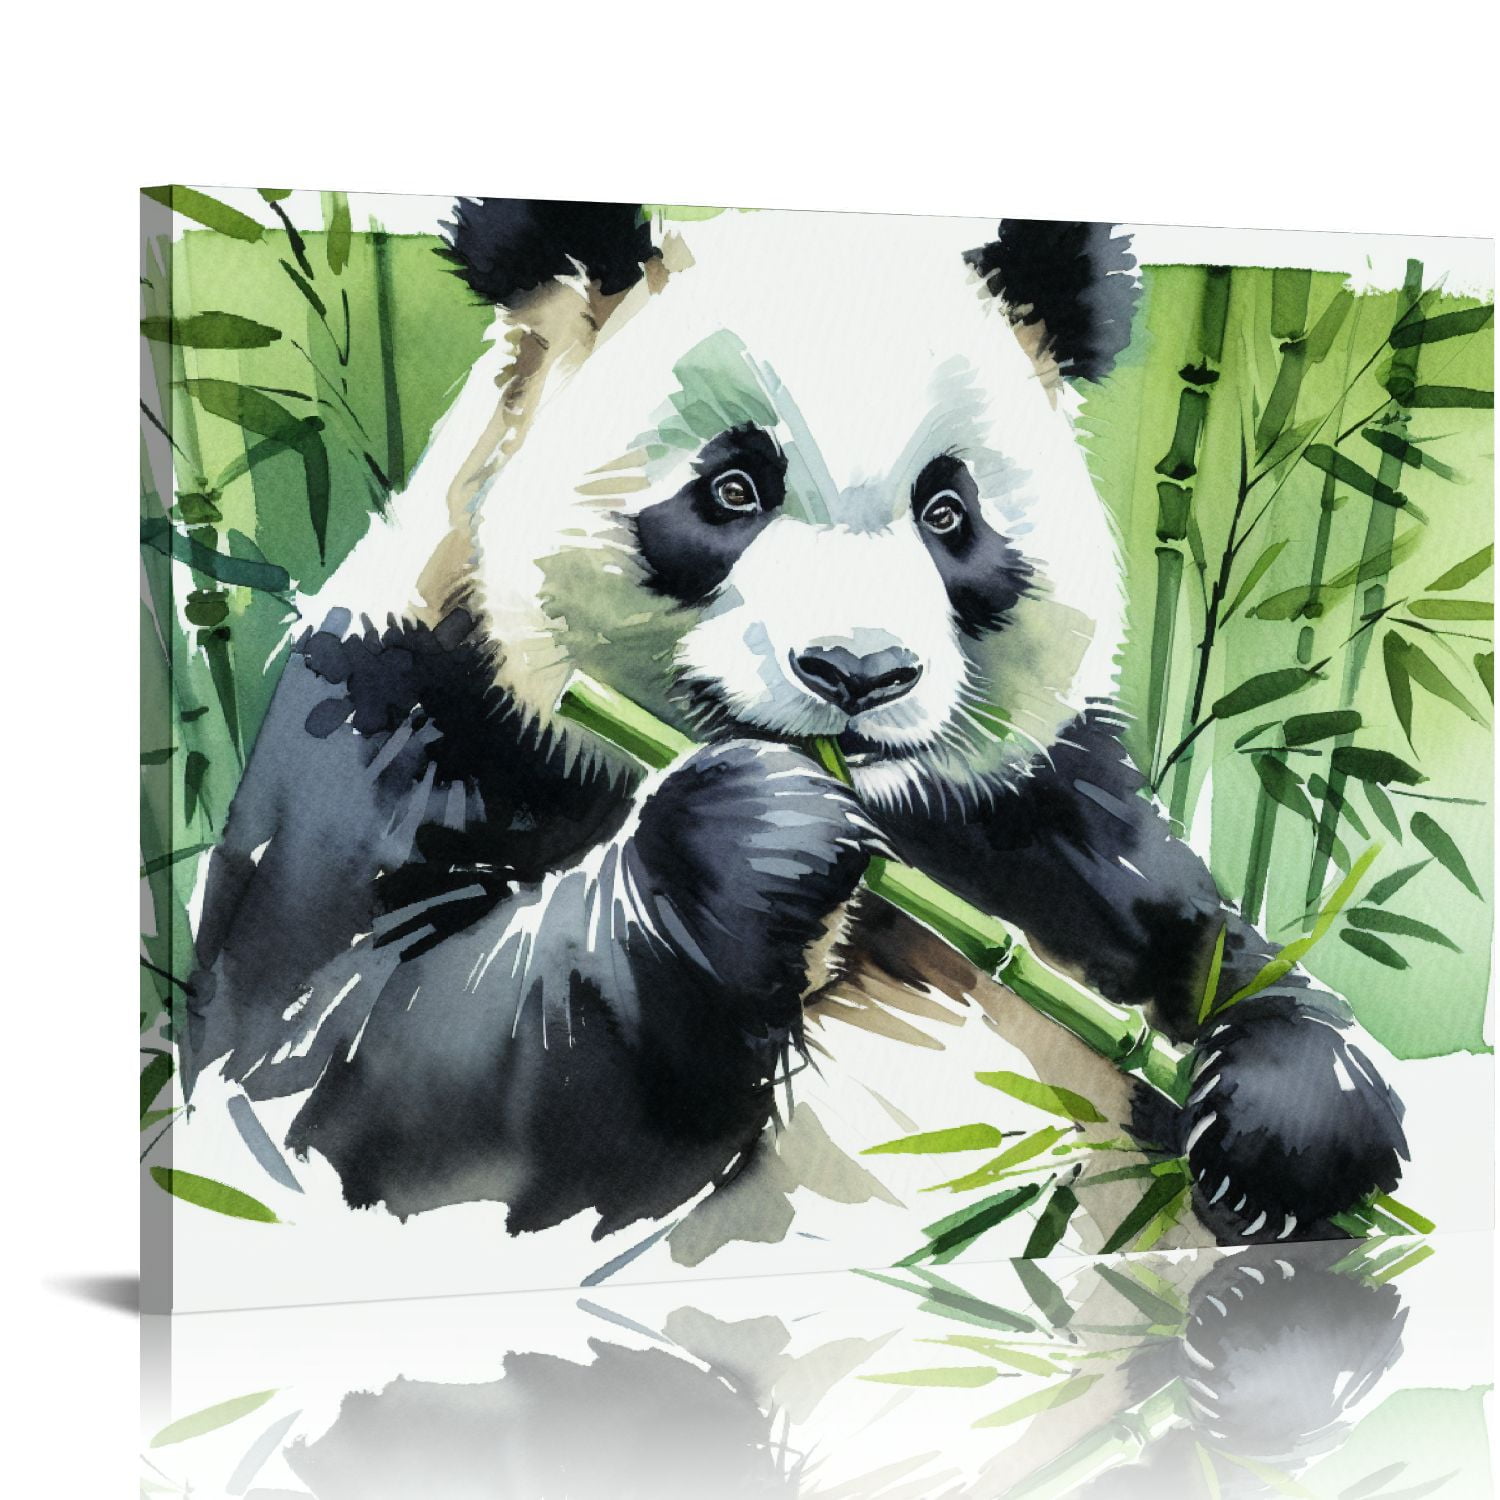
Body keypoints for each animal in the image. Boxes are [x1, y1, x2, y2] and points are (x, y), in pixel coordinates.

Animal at [183, 199, 1407, 1251]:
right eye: (733, 490)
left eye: (948, 513)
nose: (858, 673)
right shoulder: (390, 724)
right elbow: (354, 1074)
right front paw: (755, 840)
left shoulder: (1034, 808)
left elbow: (1202, 942)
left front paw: (1290, 1117)